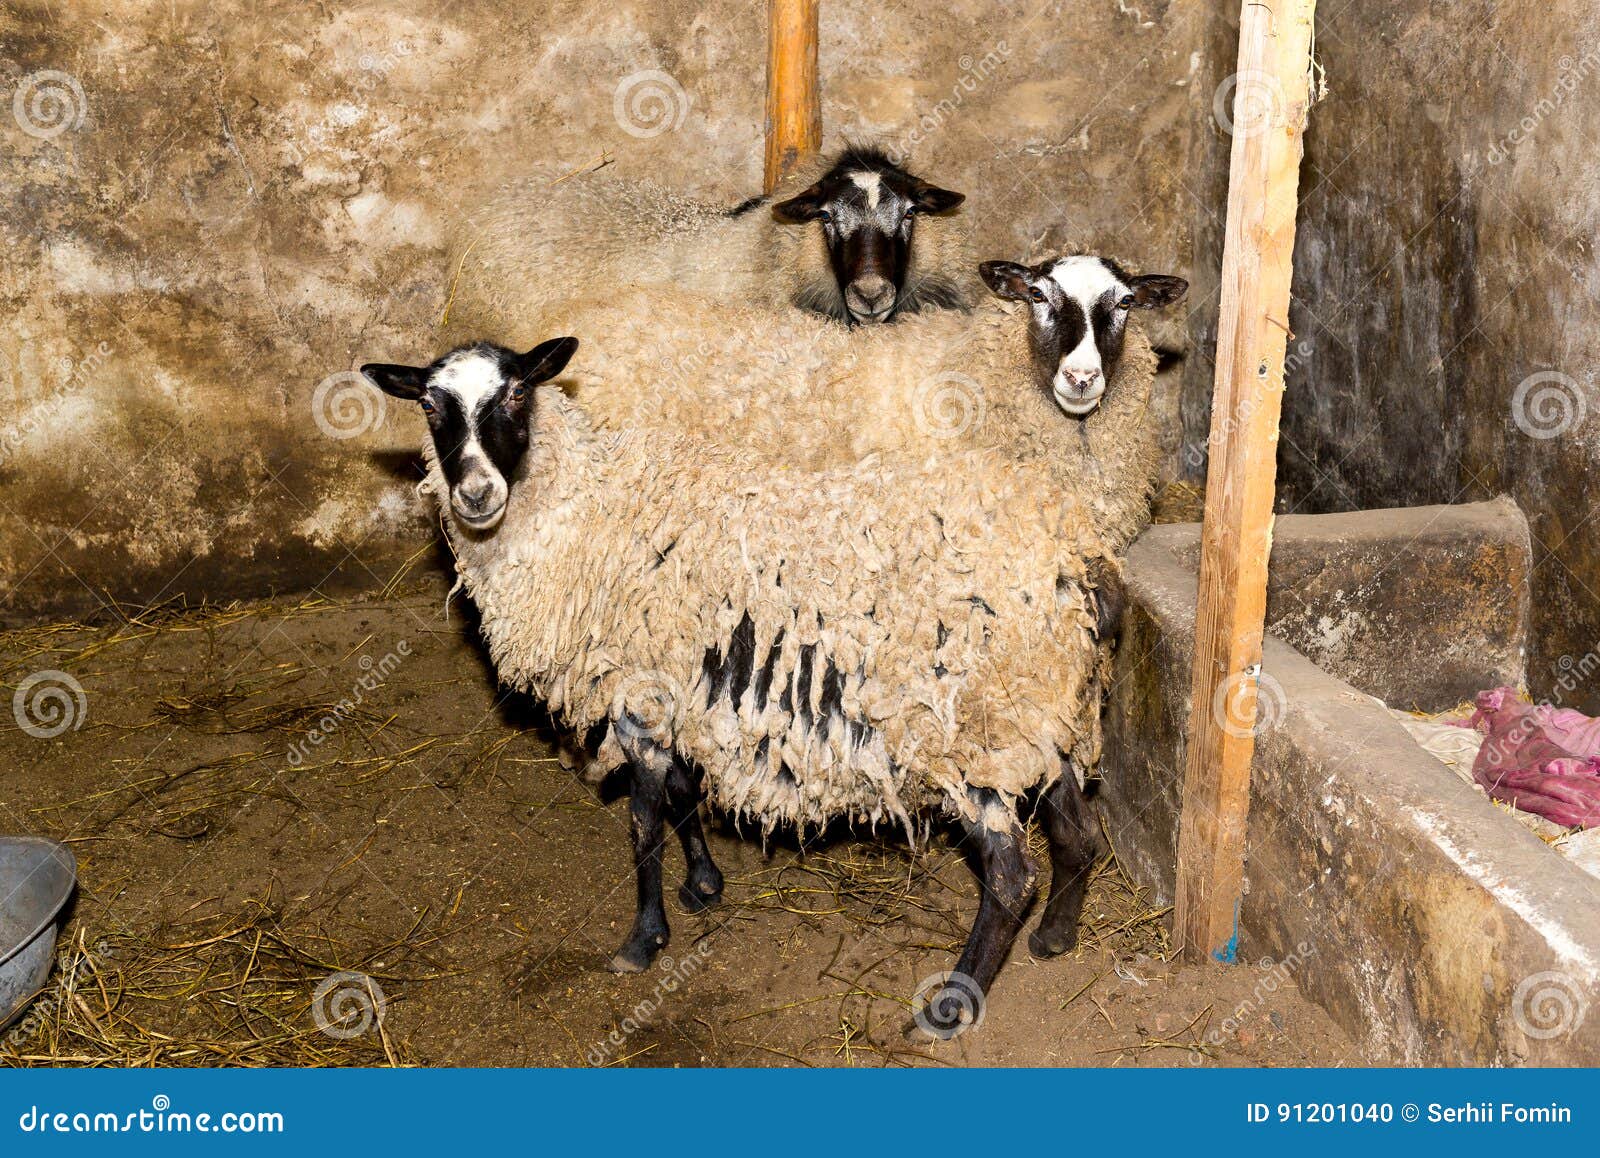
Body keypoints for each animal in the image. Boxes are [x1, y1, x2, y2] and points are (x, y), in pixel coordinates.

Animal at [360, 336, 1125, 1040]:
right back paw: (1054, 938)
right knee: (1079, 834)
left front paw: (643, 939)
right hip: (1038, 713)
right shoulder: (680, 694)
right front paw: (704, 884)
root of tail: (1079, 559)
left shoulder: (637, 691)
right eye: (429, 405)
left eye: (518, 393)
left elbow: (643, 820)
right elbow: (680, 792)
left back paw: (950, 1005)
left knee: (1010, 876)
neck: (587, 510)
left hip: (975, 729)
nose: (475, 493)